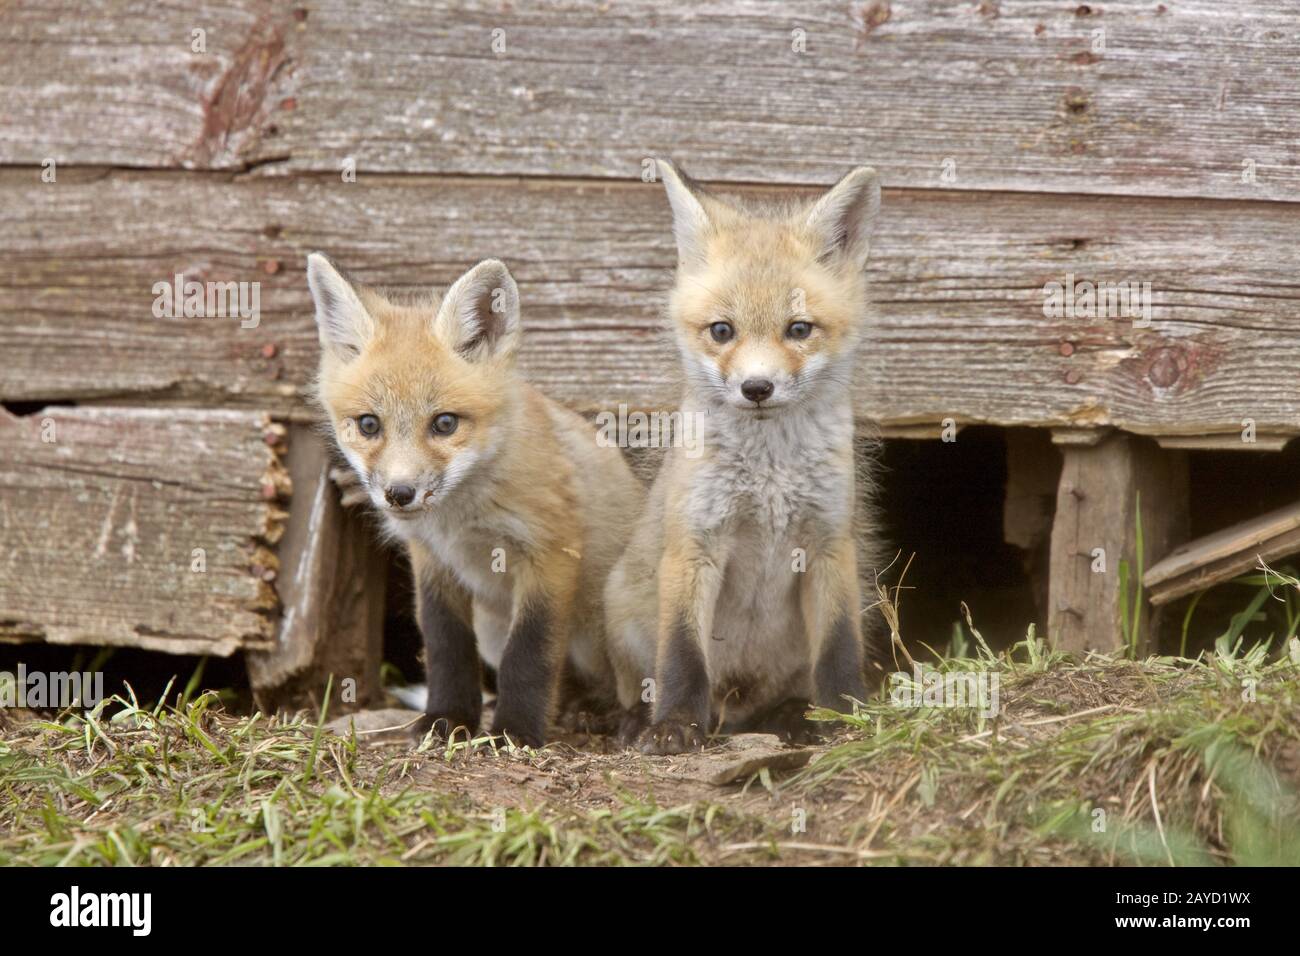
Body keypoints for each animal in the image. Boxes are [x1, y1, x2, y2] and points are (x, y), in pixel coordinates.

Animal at [307, 254, 644, 746]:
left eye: (445, 423)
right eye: (369, 425)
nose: (399, 494)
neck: (459, 519)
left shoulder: (550, 552)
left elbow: (530, 654)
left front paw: (516, 731)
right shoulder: (432, 560)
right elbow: (446, 646)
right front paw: (447, 719)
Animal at [604, 160, 884, 754]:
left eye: (798, 329)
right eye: (722, 330)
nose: (757, 388)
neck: (770, 473)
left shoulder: (830, 545)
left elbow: (839, 650)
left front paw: (846, 717)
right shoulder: (695, 545)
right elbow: (683, 655)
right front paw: (674, 726)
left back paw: (793, 715)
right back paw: (641, 719)